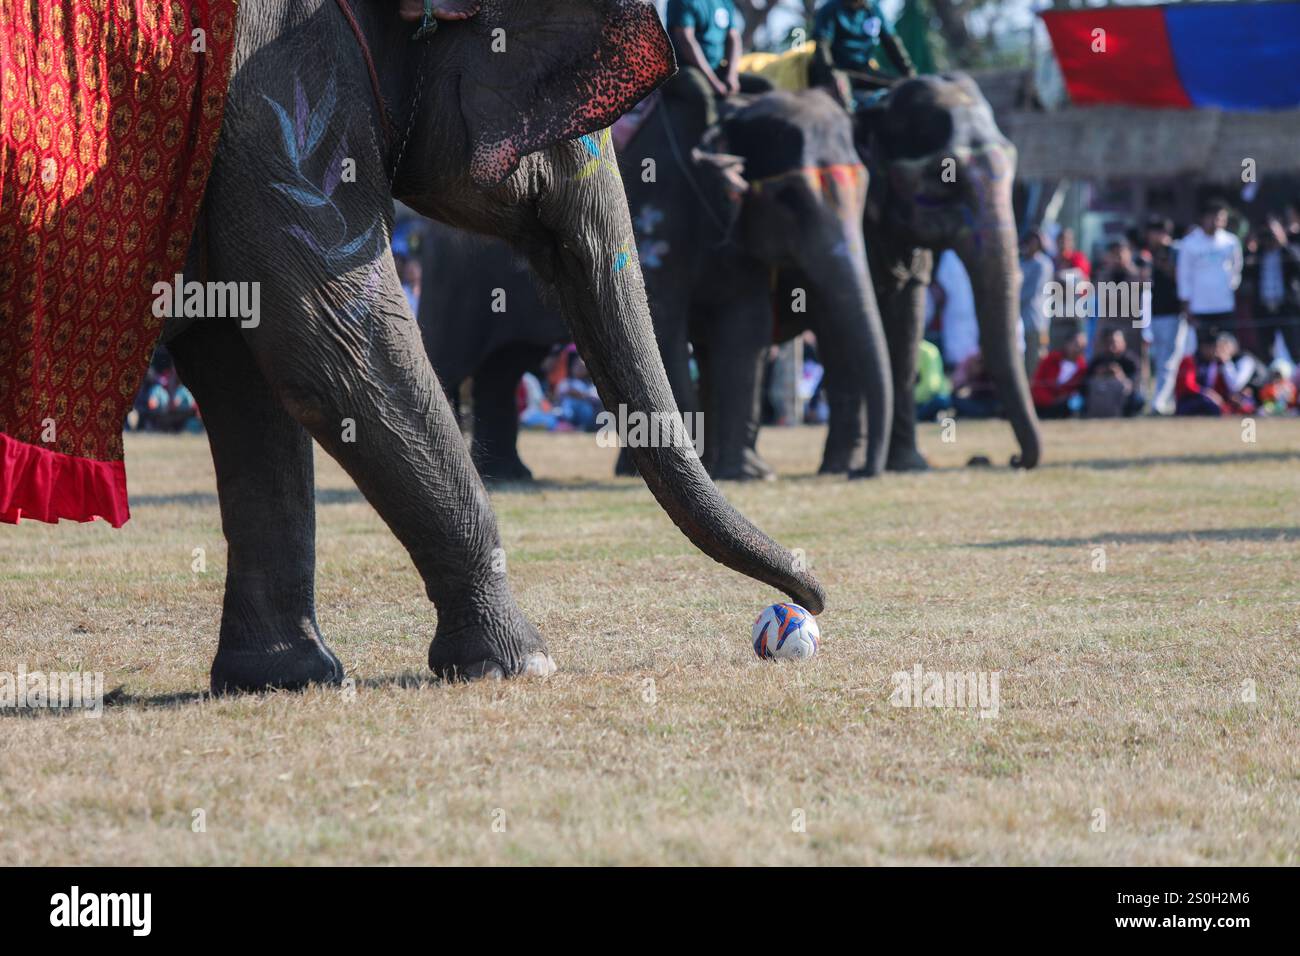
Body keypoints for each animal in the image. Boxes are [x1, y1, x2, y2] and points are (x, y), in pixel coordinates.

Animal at [155, 0, 823, 693]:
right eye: (579, 126)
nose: (806, 602)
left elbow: (244, 370)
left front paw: (286, 677)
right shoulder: (284, 109)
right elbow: (330, 342)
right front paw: (519, 661)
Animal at [419, 78, 894, 482]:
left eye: (867, 189)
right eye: (789, 197)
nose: (864, 474)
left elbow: (745, 328)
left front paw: (747, 474)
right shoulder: (655, 213)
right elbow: (663, 321)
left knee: (507, 364)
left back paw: (511, 476)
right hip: (452, 277)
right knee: (455, 355)